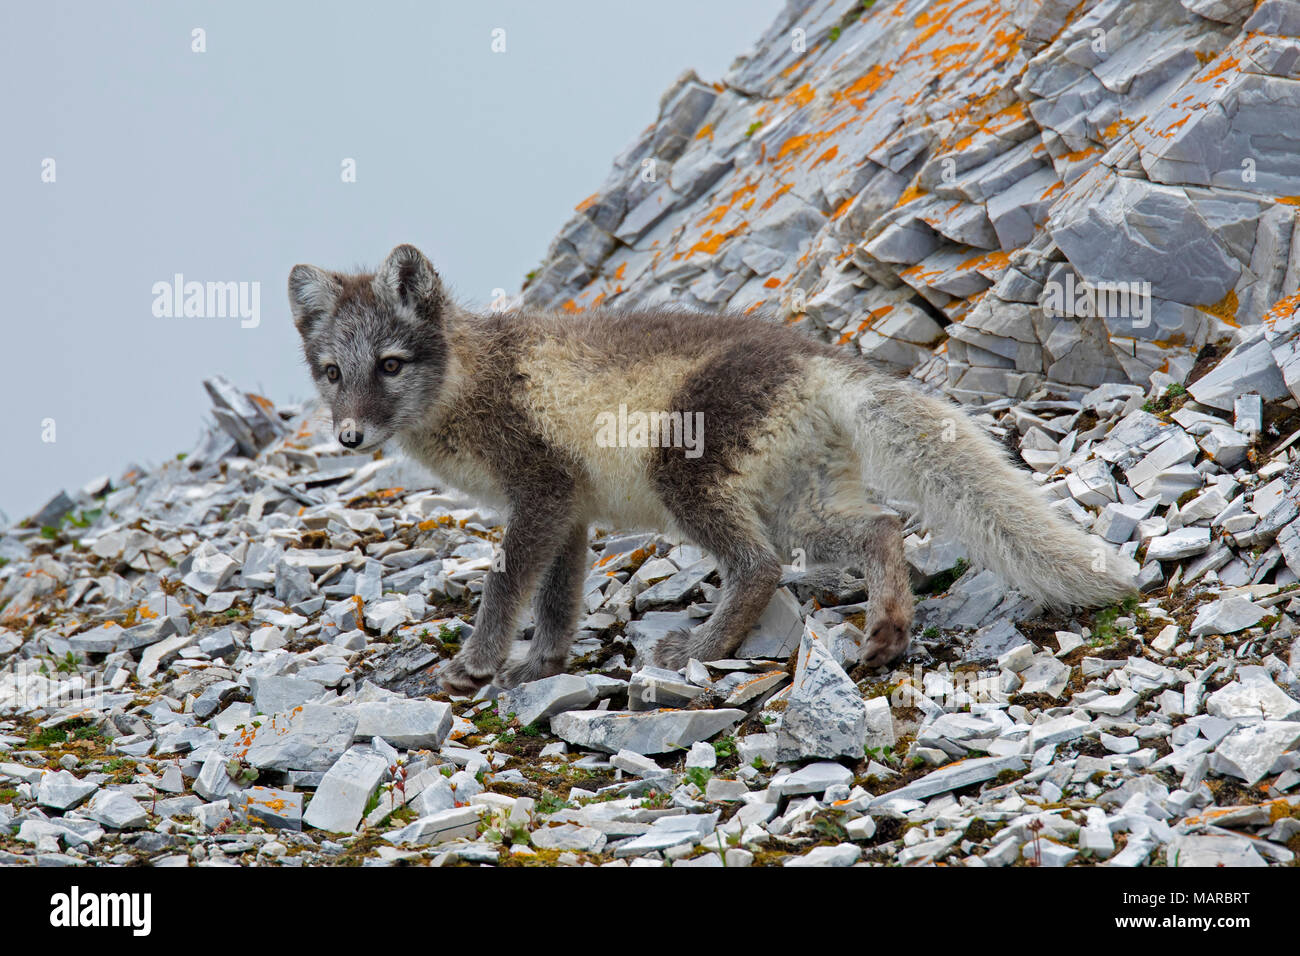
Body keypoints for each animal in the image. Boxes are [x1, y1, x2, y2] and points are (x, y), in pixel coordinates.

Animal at [288, 243, 1138, 695]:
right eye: (331, 372)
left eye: (391, 364)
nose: (350, 436)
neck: (469, 379)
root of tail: (812, 357)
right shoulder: (573, 512)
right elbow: (558, 599)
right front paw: (544, 666)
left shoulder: (542, 491)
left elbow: (507, 585)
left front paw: (476, 665)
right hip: (802, 503)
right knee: (881, 527)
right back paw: (887, 633)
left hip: (691, 481)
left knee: (758, 566)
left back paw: (701, 650)